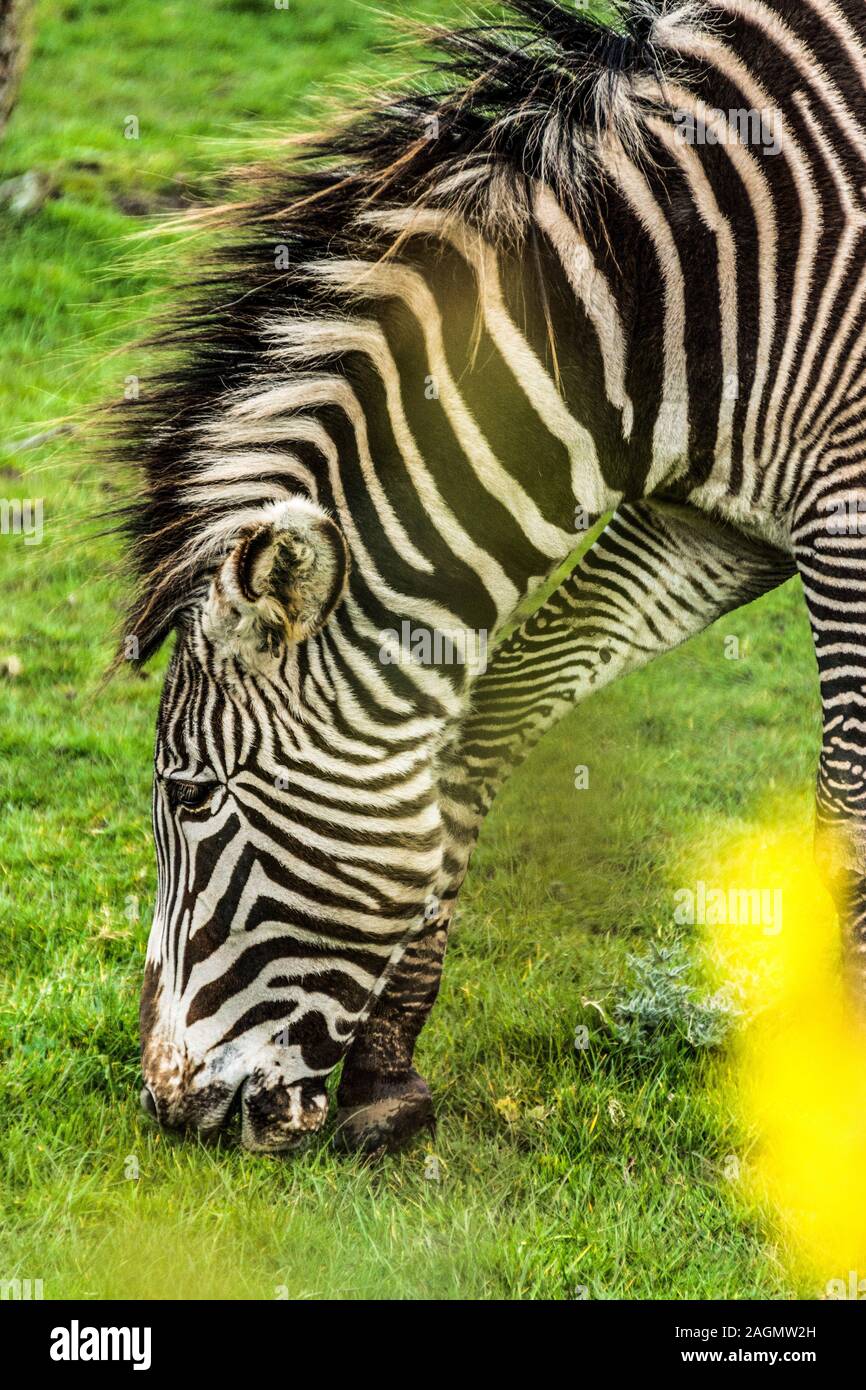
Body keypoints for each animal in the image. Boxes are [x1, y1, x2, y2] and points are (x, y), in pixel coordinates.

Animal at [114, 0, 866, 1154]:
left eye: (192, 794)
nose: (168, 1104)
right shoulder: (715, 524)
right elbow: (487, 723)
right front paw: (386, 1067)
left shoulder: (846, 518)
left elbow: (847, 807)